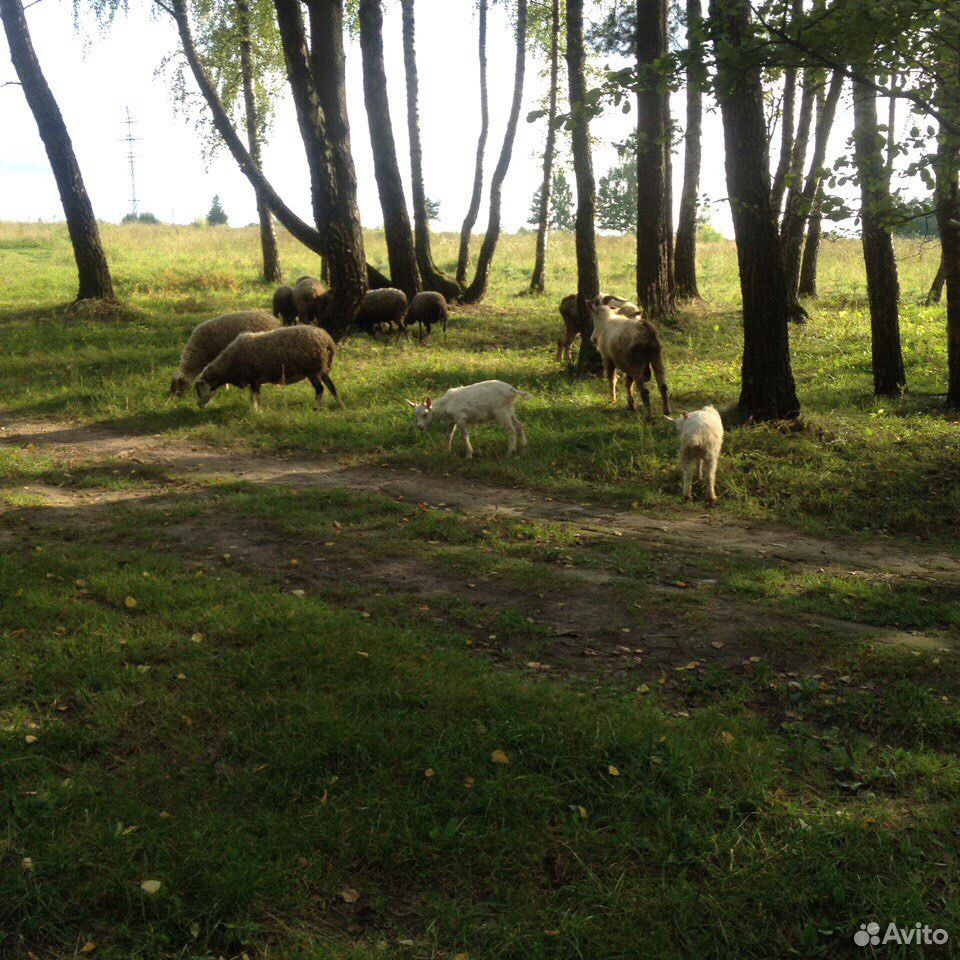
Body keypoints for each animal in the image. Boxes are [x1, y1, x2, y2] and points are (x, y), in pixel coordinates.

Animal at [194, 324, 342, 412]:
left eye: (199, 390)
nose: (198, 405)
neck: (228, 364)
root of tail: (327, 340)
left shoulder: (254, 379)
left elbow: (256, 396)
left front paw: (256, 411)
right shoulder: (252, 381)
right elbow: (252, 396)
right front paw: (253, 408)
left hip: (313, 371)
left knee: (320, 389)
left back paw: (317, 408)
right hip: (323, 369)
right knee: (331, 387)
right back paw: (340, 405)